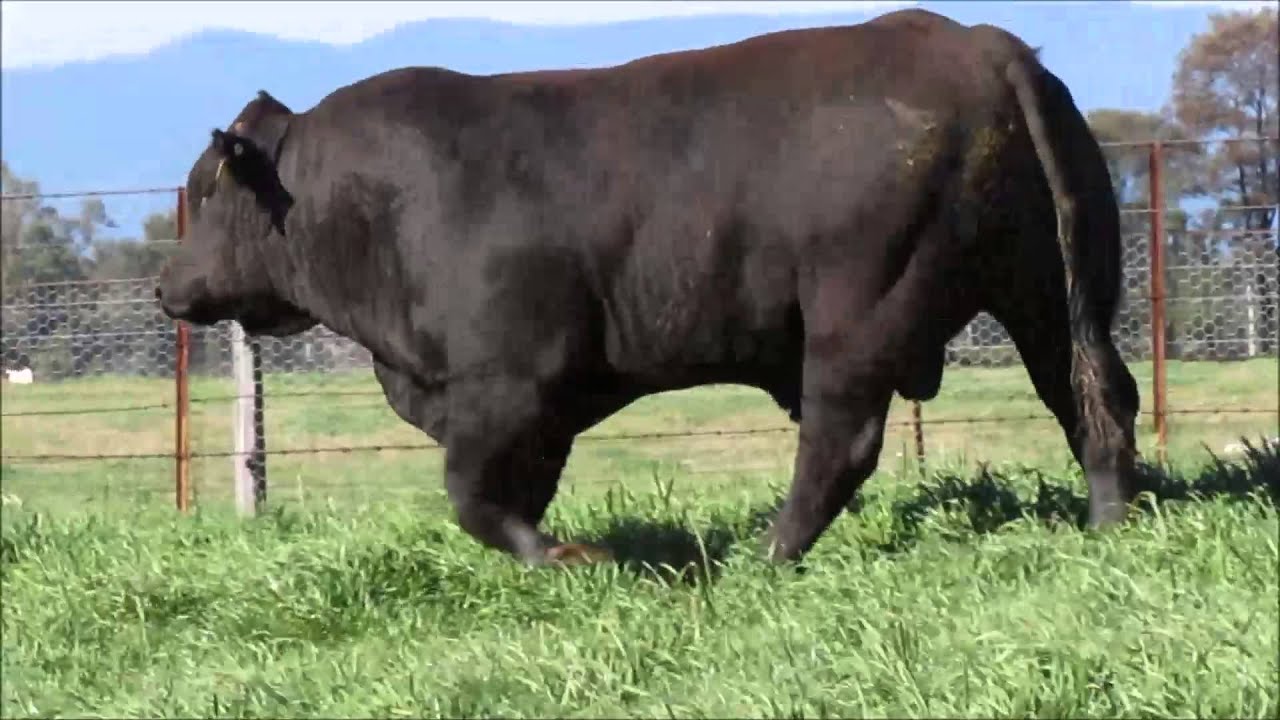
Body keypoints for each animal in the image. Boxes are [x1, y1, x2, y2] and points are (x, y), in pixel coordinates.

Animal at [156, 8, 1140, 567]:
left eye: (207, 192)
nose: (168, 283)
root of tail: (976, 45)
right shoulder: (537, 404)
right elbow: (510, 491)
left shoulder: (507, 383)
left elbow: (474, 495)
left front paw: (571, 557)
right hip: (1051, 294)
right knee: (1095, 398)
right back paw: (1110, 524)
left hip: (857, 315)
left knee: (840, 440)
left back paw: (767, 554)